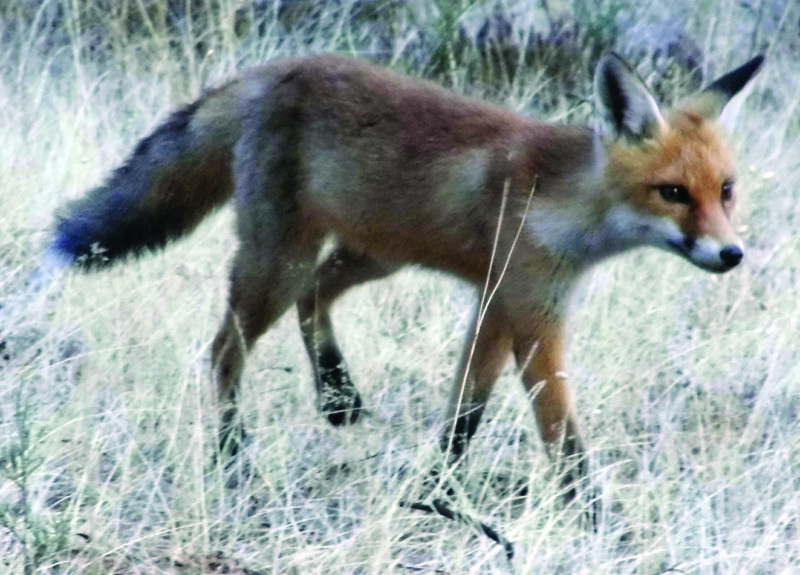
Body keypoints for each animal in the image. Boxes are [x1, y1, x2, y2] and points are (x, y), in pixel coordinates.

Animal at [44, 51, 764, 498]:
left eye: (726, 191)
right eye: (673, 193)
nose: (732, 256)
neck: (564, 205)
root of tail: (273, 69)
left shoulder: (496, 305)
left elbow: (465, 415)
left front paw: (437, 490)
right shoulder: (531, 313)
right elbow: (561, 435)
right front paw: (593, 516)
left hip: (372, 252)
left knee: (315, 296)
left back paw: (337, 393)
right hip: (280, 261)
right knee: (225, 349)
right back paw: (233, 458)